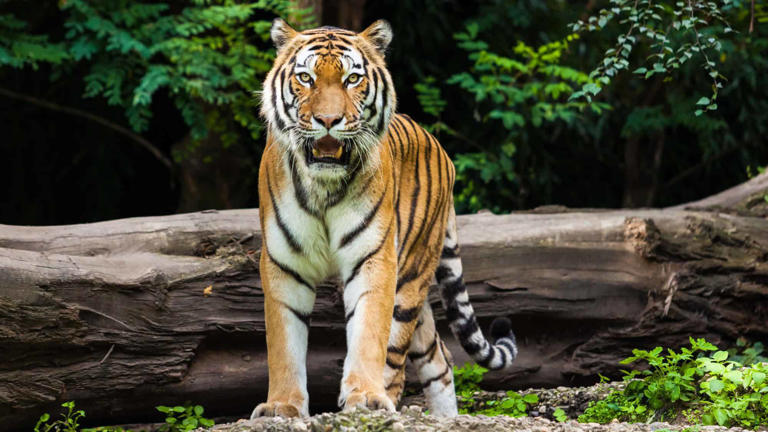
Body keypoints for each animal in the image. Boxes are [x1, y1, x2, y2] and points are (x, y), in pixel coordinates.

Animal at [252, 18, 518, 419]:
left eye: (351, 79)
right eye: (306, 78)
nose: (327, 120)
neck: (324, 187)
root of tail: (439, 146)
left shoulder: (374, 258)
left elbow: (368, 334)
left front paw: (364, 396)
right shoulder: (284, 265)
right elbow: (283, 344)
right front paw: (282, 406)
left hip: (410, 278)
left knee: (399, 357)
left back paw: (387, 402)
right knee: (439, 356)